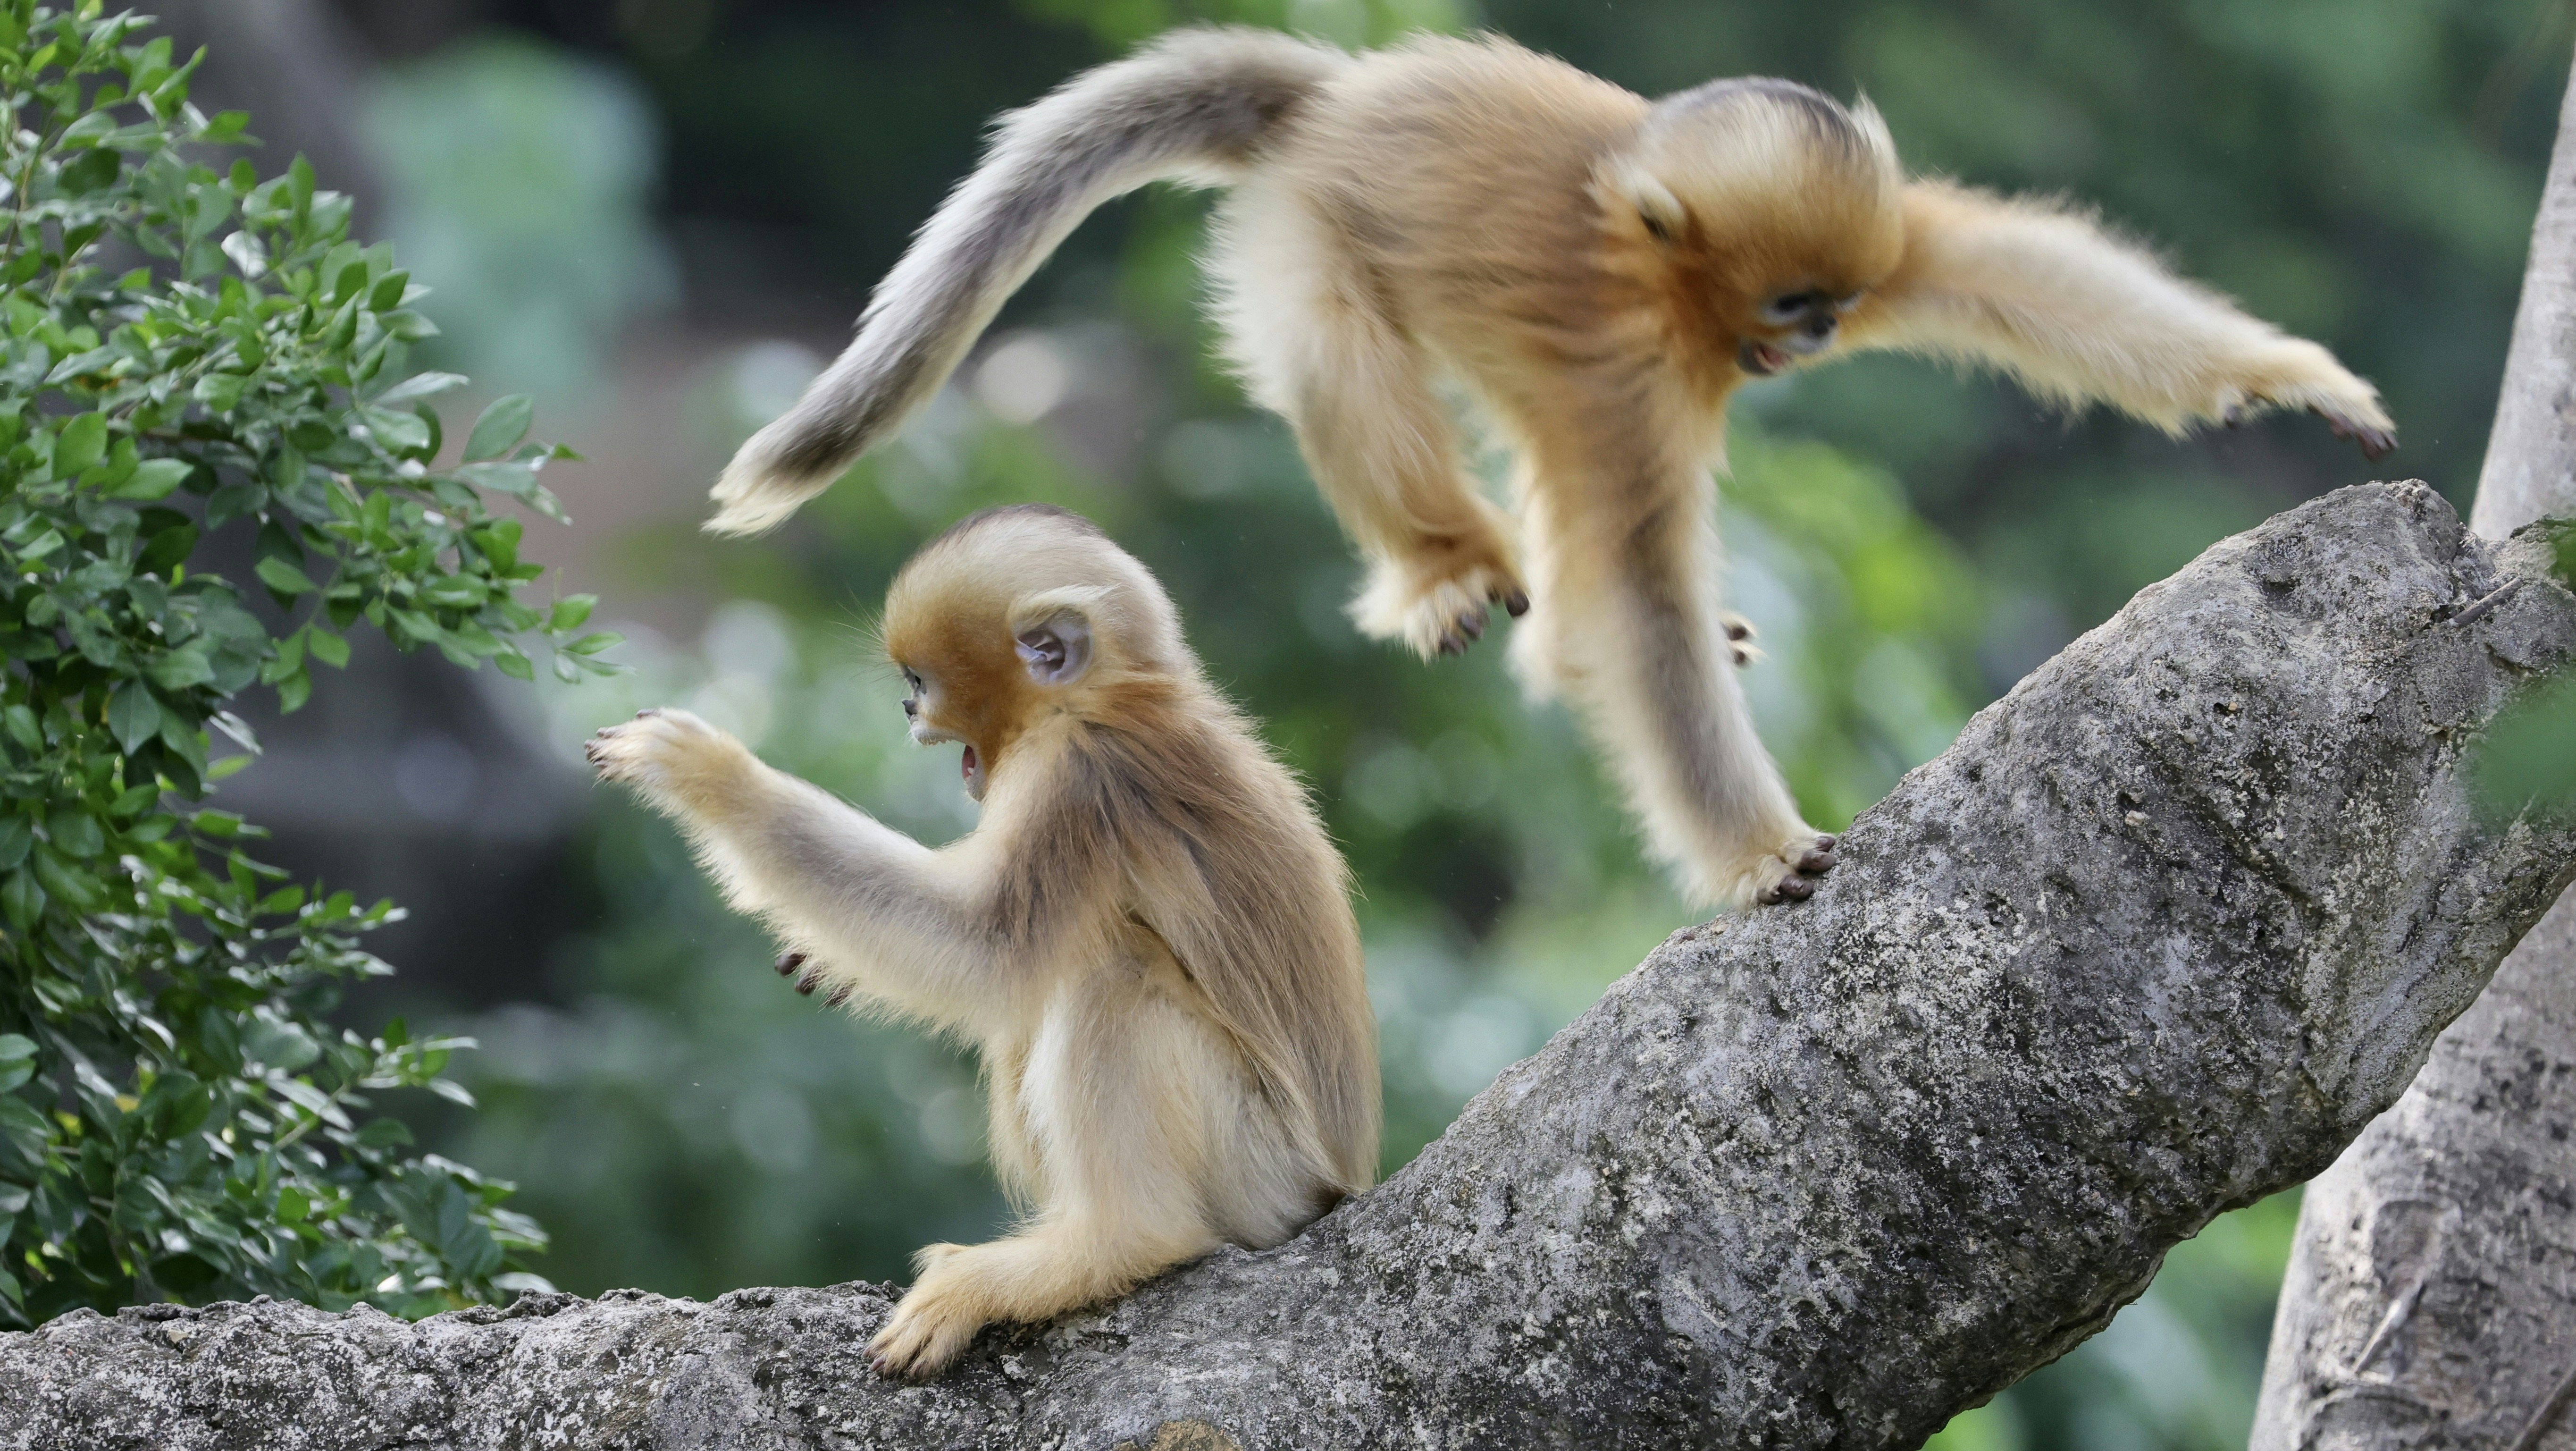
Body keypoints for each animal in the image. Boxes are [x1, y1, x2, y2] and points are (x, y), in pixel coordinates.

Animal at [585, 504, 1379, 1379]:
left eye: (919, 681)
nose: (907, 713)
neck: (1121, 694)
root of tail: (1334, 1188)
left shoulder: (1074, 775)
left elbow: (981, 945)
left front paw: (713, 774)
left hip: (1255, 1166)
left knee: (1109, 972)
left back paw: (1108, 1245)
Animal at [703, 28, 2395, 911]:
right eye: (1794, 306)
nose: (1808, 348)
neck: (1666, 278)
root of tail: (1334, 93)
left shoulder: (1878, 237)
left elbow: (2007, 276)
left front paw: (2287, 375)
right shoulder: (1631, 367)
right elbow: (1635, 598)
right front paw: (1759, 854)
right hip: (1302, 236)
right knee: (1344, 364)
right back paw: (1451, 569)